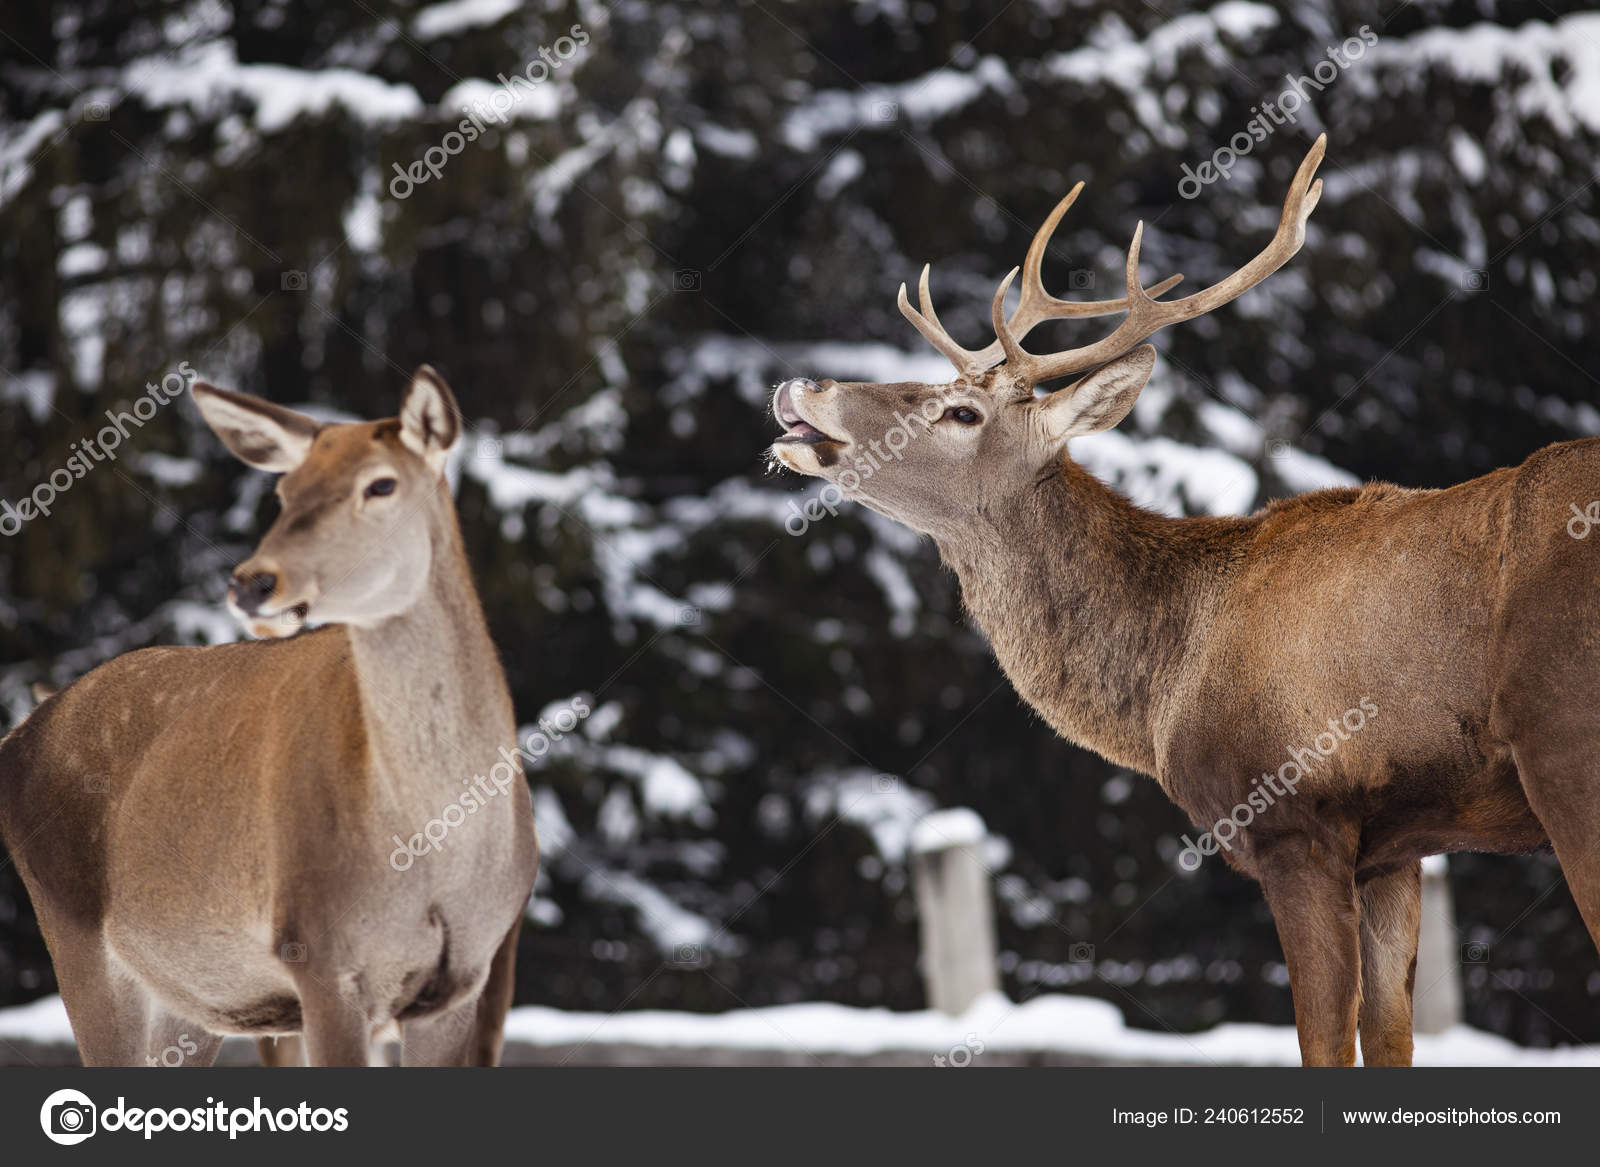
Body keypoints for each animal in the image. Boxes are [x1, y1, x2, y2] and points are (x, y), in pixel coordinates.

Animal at [0, 367, 538, 1066]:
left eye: (381, 483)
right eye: (284, 490)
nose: (253, 582)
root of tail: (16, 735)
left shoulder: (464, 979)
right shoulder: (319, 951)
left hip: (194, 994)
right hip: (77, 936)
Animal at [769, 133, 1600, 1066]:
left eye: (961, 413)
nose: (802, 386)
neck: (1166, 681)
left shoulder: (1297, 818)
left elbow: (1322, 1045)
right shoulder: (1396, 846)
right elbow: (1388, 1043)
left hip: (1567, 738)